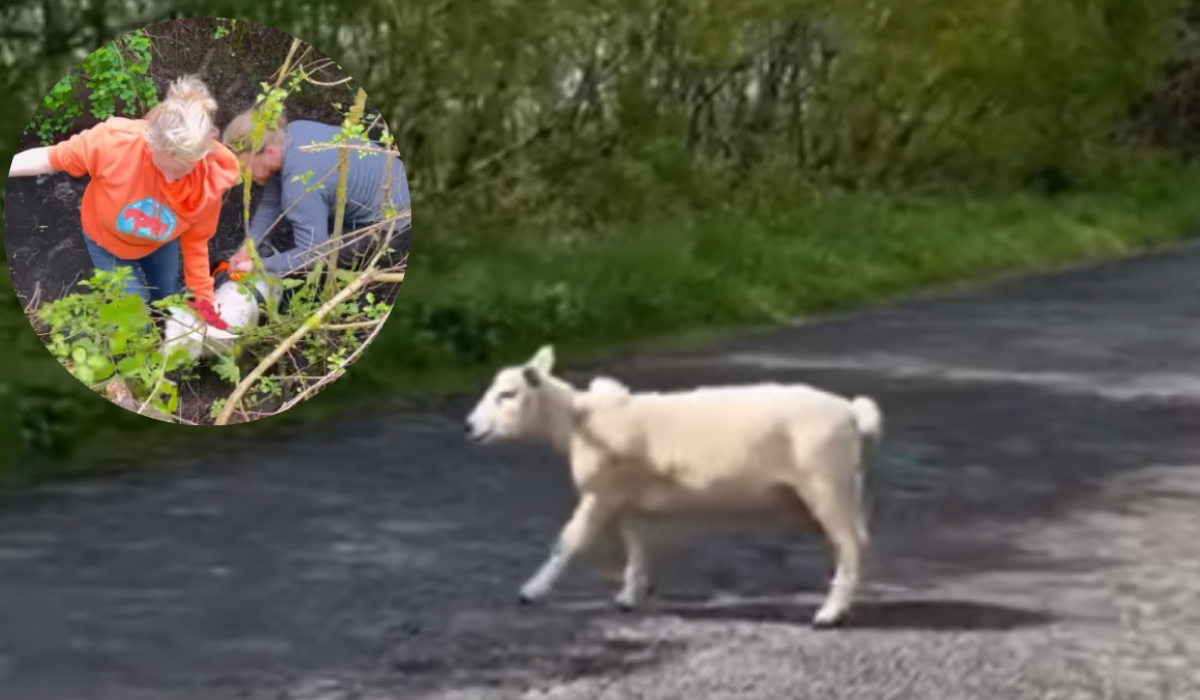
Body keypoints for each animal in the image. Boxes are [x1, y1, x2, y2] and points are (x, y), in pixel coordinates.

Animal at [464, 344, 883, 629]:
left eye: (508, 394)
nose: (469, 426)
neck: (576, 423)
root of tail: (851, 412)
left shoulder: (602, 492)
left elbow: (567, 542)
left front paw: (531, 591)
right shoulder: (626, 497)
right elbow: (635, 546)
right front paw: (629, 595)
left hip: (825, 482)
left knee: (850, 543)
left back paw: (830, 612)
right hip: (834, 487)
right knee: (851, 541)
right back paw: (841, 601)